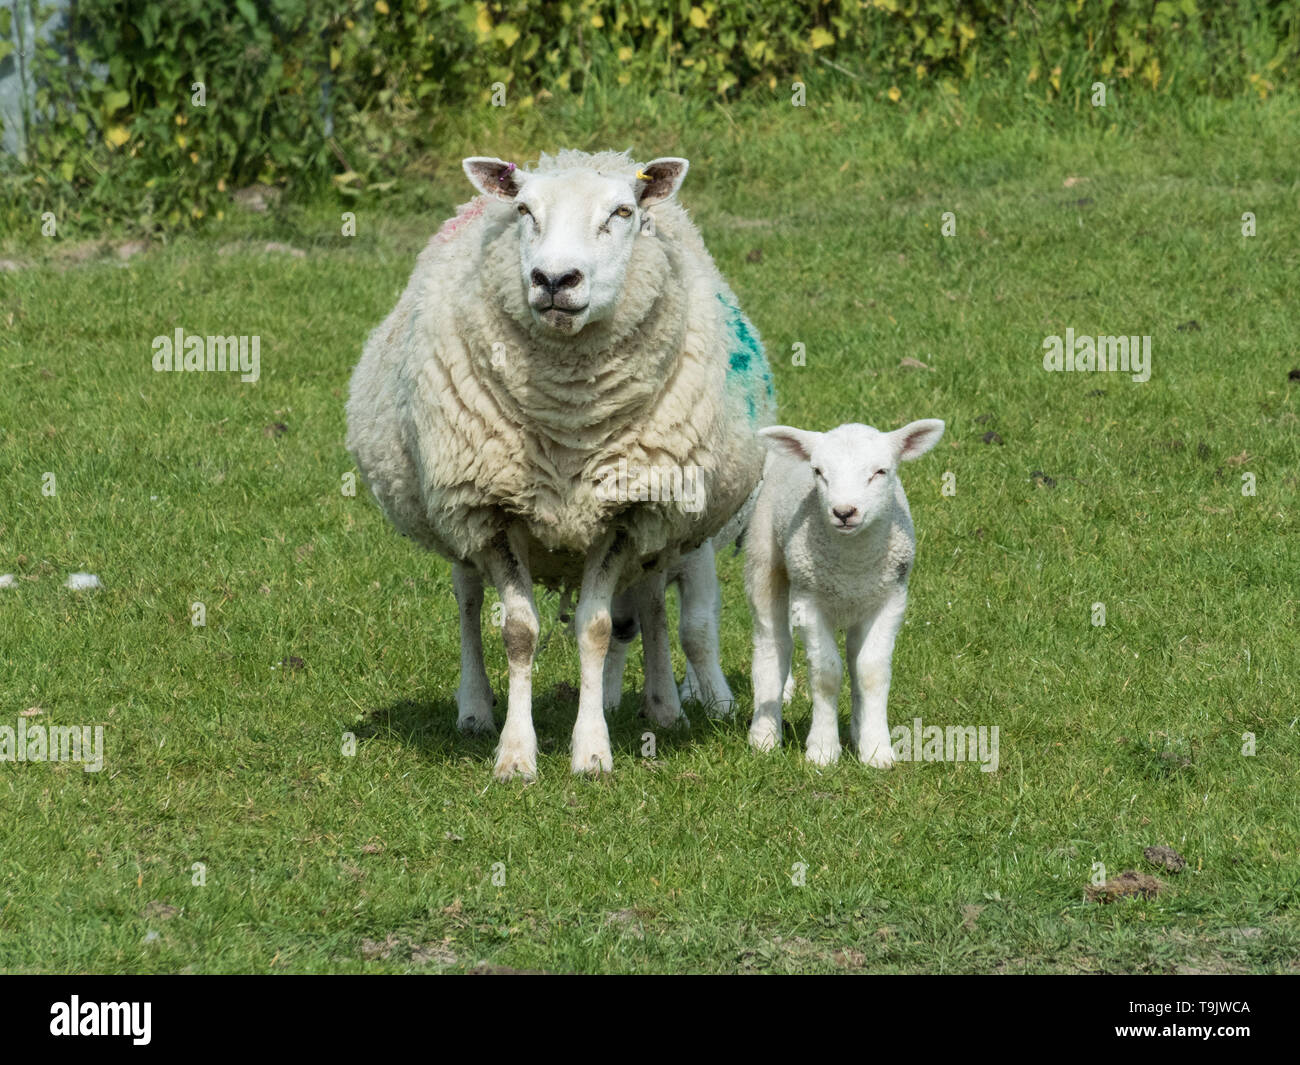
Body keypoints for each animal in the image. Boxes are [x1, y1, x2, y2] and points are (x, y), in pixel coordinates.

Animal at [346, 149, 774, 781]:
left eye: (622, 212)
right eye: (525, 210)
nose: (553, 280)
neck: (570, 424)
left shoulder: (629, 509)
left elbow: (597, 628)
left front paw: (592, 750)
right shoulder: (489, 510)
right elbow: (517, 632)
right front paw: (515, 755)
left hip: (664, 528)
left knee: (649, 603)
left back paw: (664, 707)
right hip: (457, 523)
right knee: (469, 603)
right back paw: (474, 708)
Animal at [744, 418, 945, 767]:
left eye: (880, 471)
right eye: (818, 471)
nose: (843, 512)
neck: (852, 562)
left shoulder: (890, 599)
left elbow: (871, 671)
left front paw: (876, 749)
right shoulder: (809, 601)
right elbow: (826, 673)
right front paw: (823, 750)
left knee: (853, 656)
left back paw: (857, 728)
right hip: (764, 556)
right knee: (773, 645)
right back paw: (765, 735)